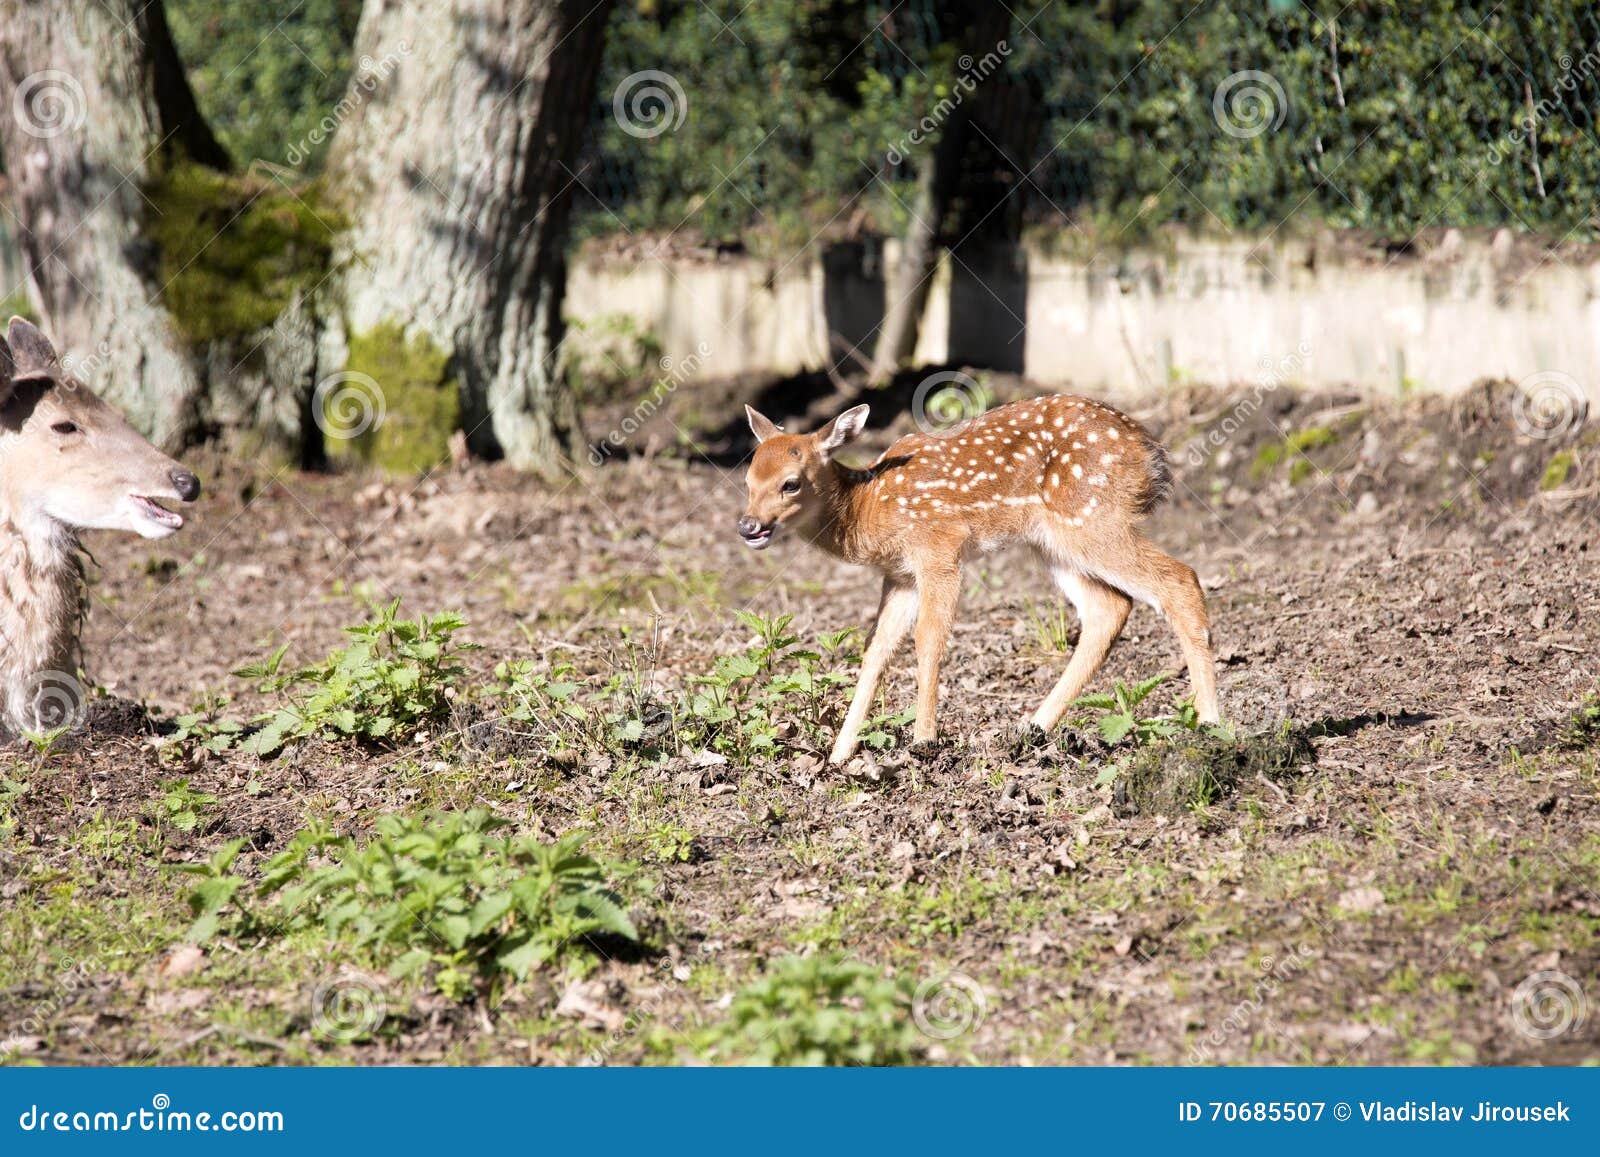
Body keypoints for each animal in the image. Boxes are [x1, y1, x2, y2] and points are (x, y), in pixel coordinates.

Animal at [738, 394, 1218, 765]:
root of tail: (1152, 450)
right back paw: (1031, 730)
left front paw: (923, 741)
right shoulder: (900, 575)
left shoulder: (939, 547)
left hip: (1095, 518)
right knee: (1109, 608)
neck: (871, 508)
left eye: (791, 483)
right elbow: (876, 650)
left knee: (1180, 580)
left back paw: (1211, 723)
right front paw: (839, 754)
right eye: (747, 479)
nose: (748, 526)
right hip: (1056, 542)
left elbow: (929, 638)